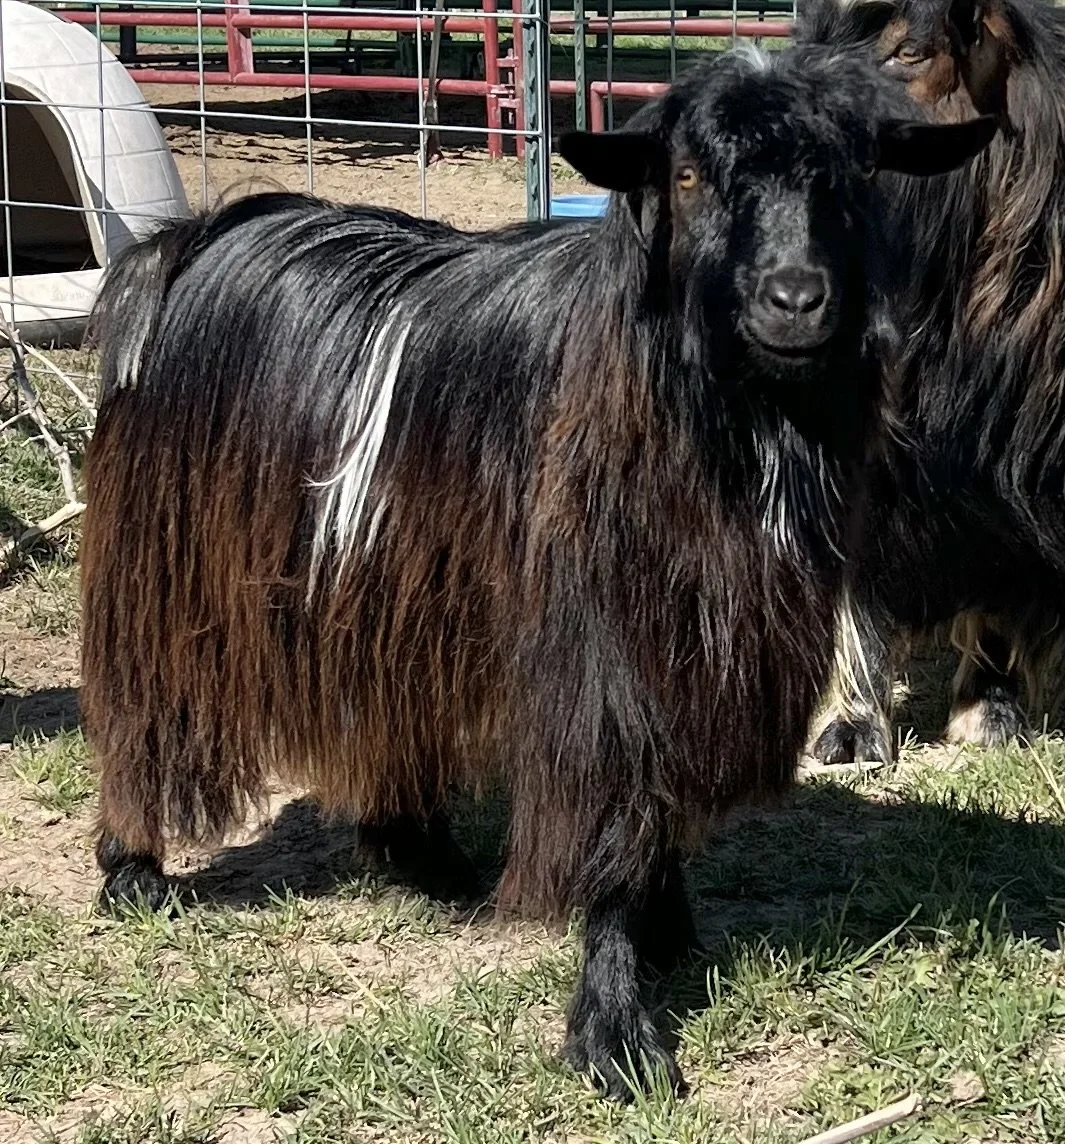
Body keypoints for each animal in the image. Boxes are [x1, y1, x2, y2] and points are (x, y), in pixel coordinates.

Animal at [81, 46, 994, 1097]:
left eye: (850, 183)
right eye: (686, 176)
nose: (795, 299)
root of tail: (196, 237)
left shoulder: (687, 646)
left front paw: (666, 934)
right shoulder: (601, 653)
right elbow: (612, 820)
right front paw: (617, 1034)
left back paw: (421, 855)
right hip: (165, 568)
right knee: (145, 700)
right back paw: (134, 869)